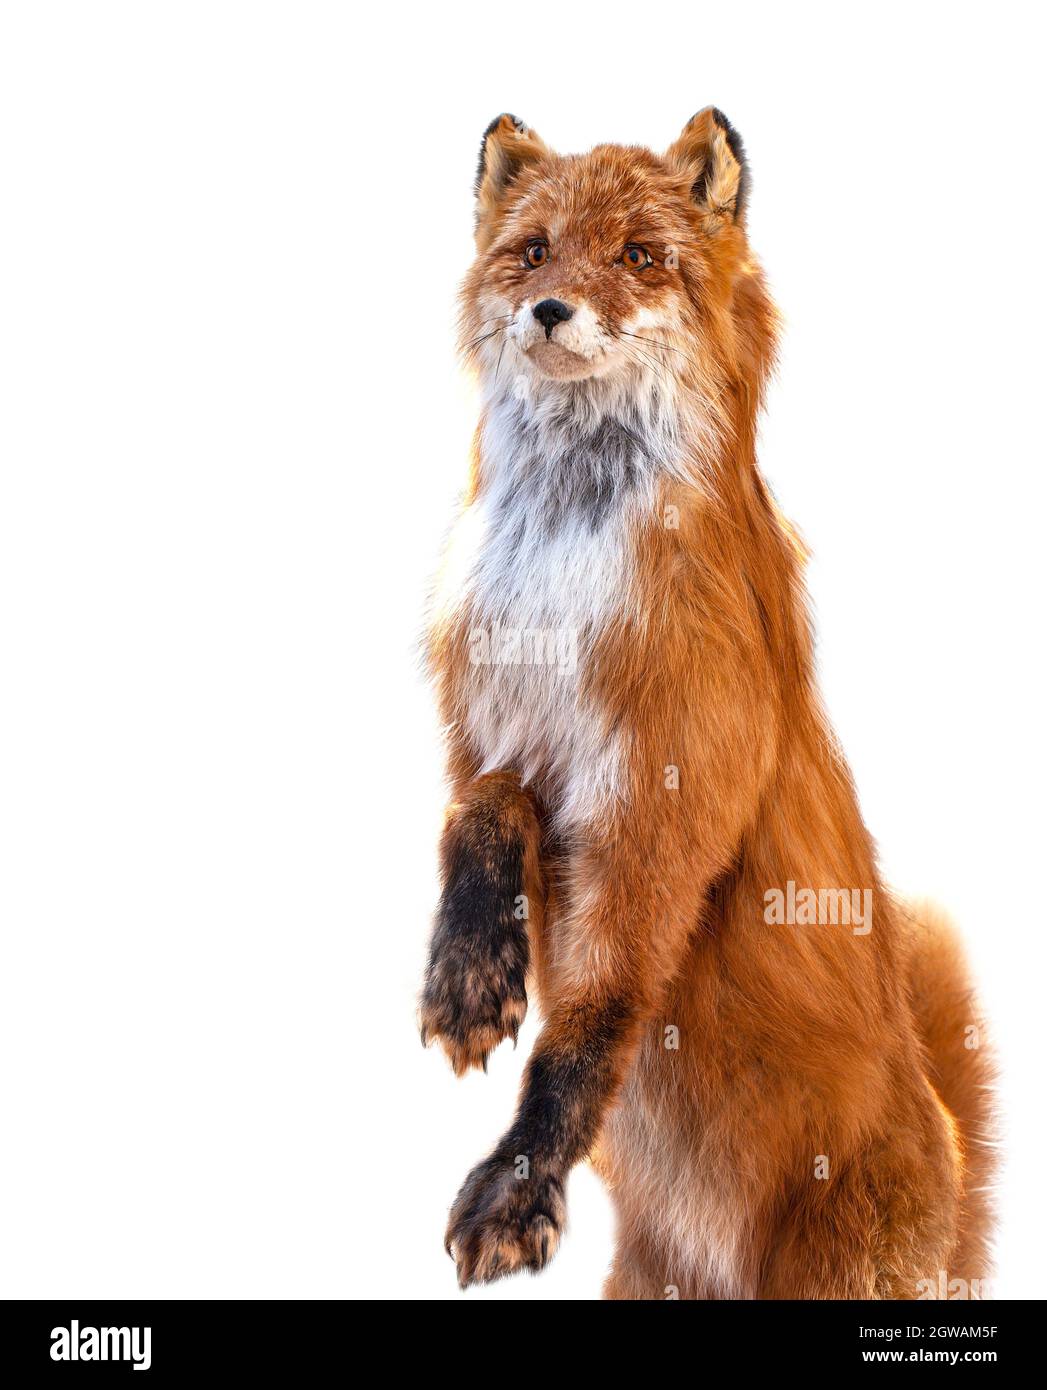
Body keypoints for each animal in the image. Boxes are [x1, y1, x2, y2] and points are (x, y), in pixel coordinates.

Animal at [420, 108, 995, 1299]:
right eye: (533, 252)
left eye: (641, 256)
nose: (552, 310)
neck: (559, 579)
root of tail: (951, 1159)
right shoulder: (499, 735)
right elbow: (481, 809)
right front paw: (469, 974)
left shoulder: (664, 795)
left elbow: (591, 1024)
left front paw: (517, 1185)